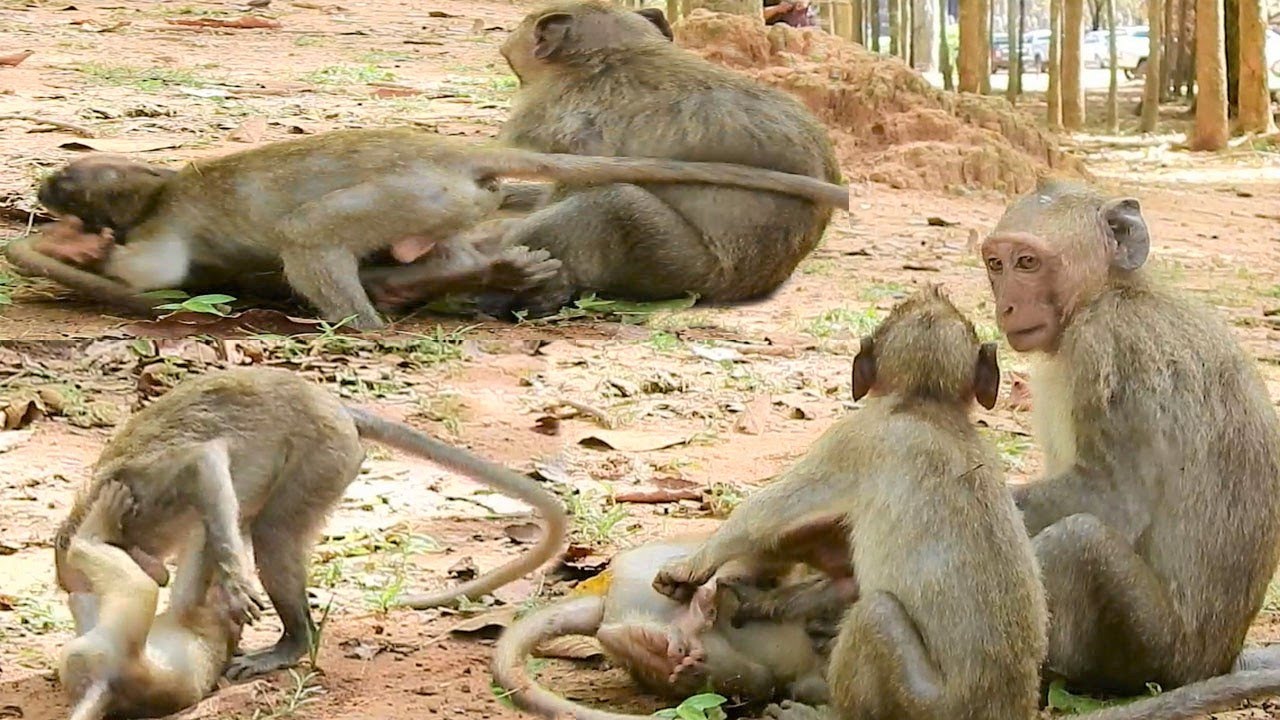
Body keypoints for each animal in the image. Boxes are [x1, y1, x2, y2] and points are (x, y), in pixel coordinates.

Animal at [53, 366, 569, 681]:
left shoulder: (141, 492)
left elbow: (204, 464)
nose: (90, 619)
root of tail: (333, 403)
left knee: (273, 534)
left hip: (325, 457)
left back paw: (294, 642)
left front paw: (234, 582)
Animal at [58, 480, 244, 720]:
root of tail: (109, 684)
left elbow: (185, 593)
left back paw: (97, 526)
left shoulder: (201, 613)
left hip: (116, 635)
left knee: (141, 586)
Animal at [491, 535, 833, 720]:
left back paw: (643, 645)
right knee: (752, 554)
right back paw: (702, 603)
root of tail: (607, 605)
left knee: (758, 678)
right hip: (665, 558)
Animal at [969, 178, 1280, 718]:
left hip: (1158, 648)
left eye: (1027, 263)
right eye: (996, 264)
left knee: (1079, 543)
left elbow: (1114, 498)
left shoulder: (1107, 351)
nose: (1004, 305)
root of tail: (1222, 657)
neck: (1112, 290)